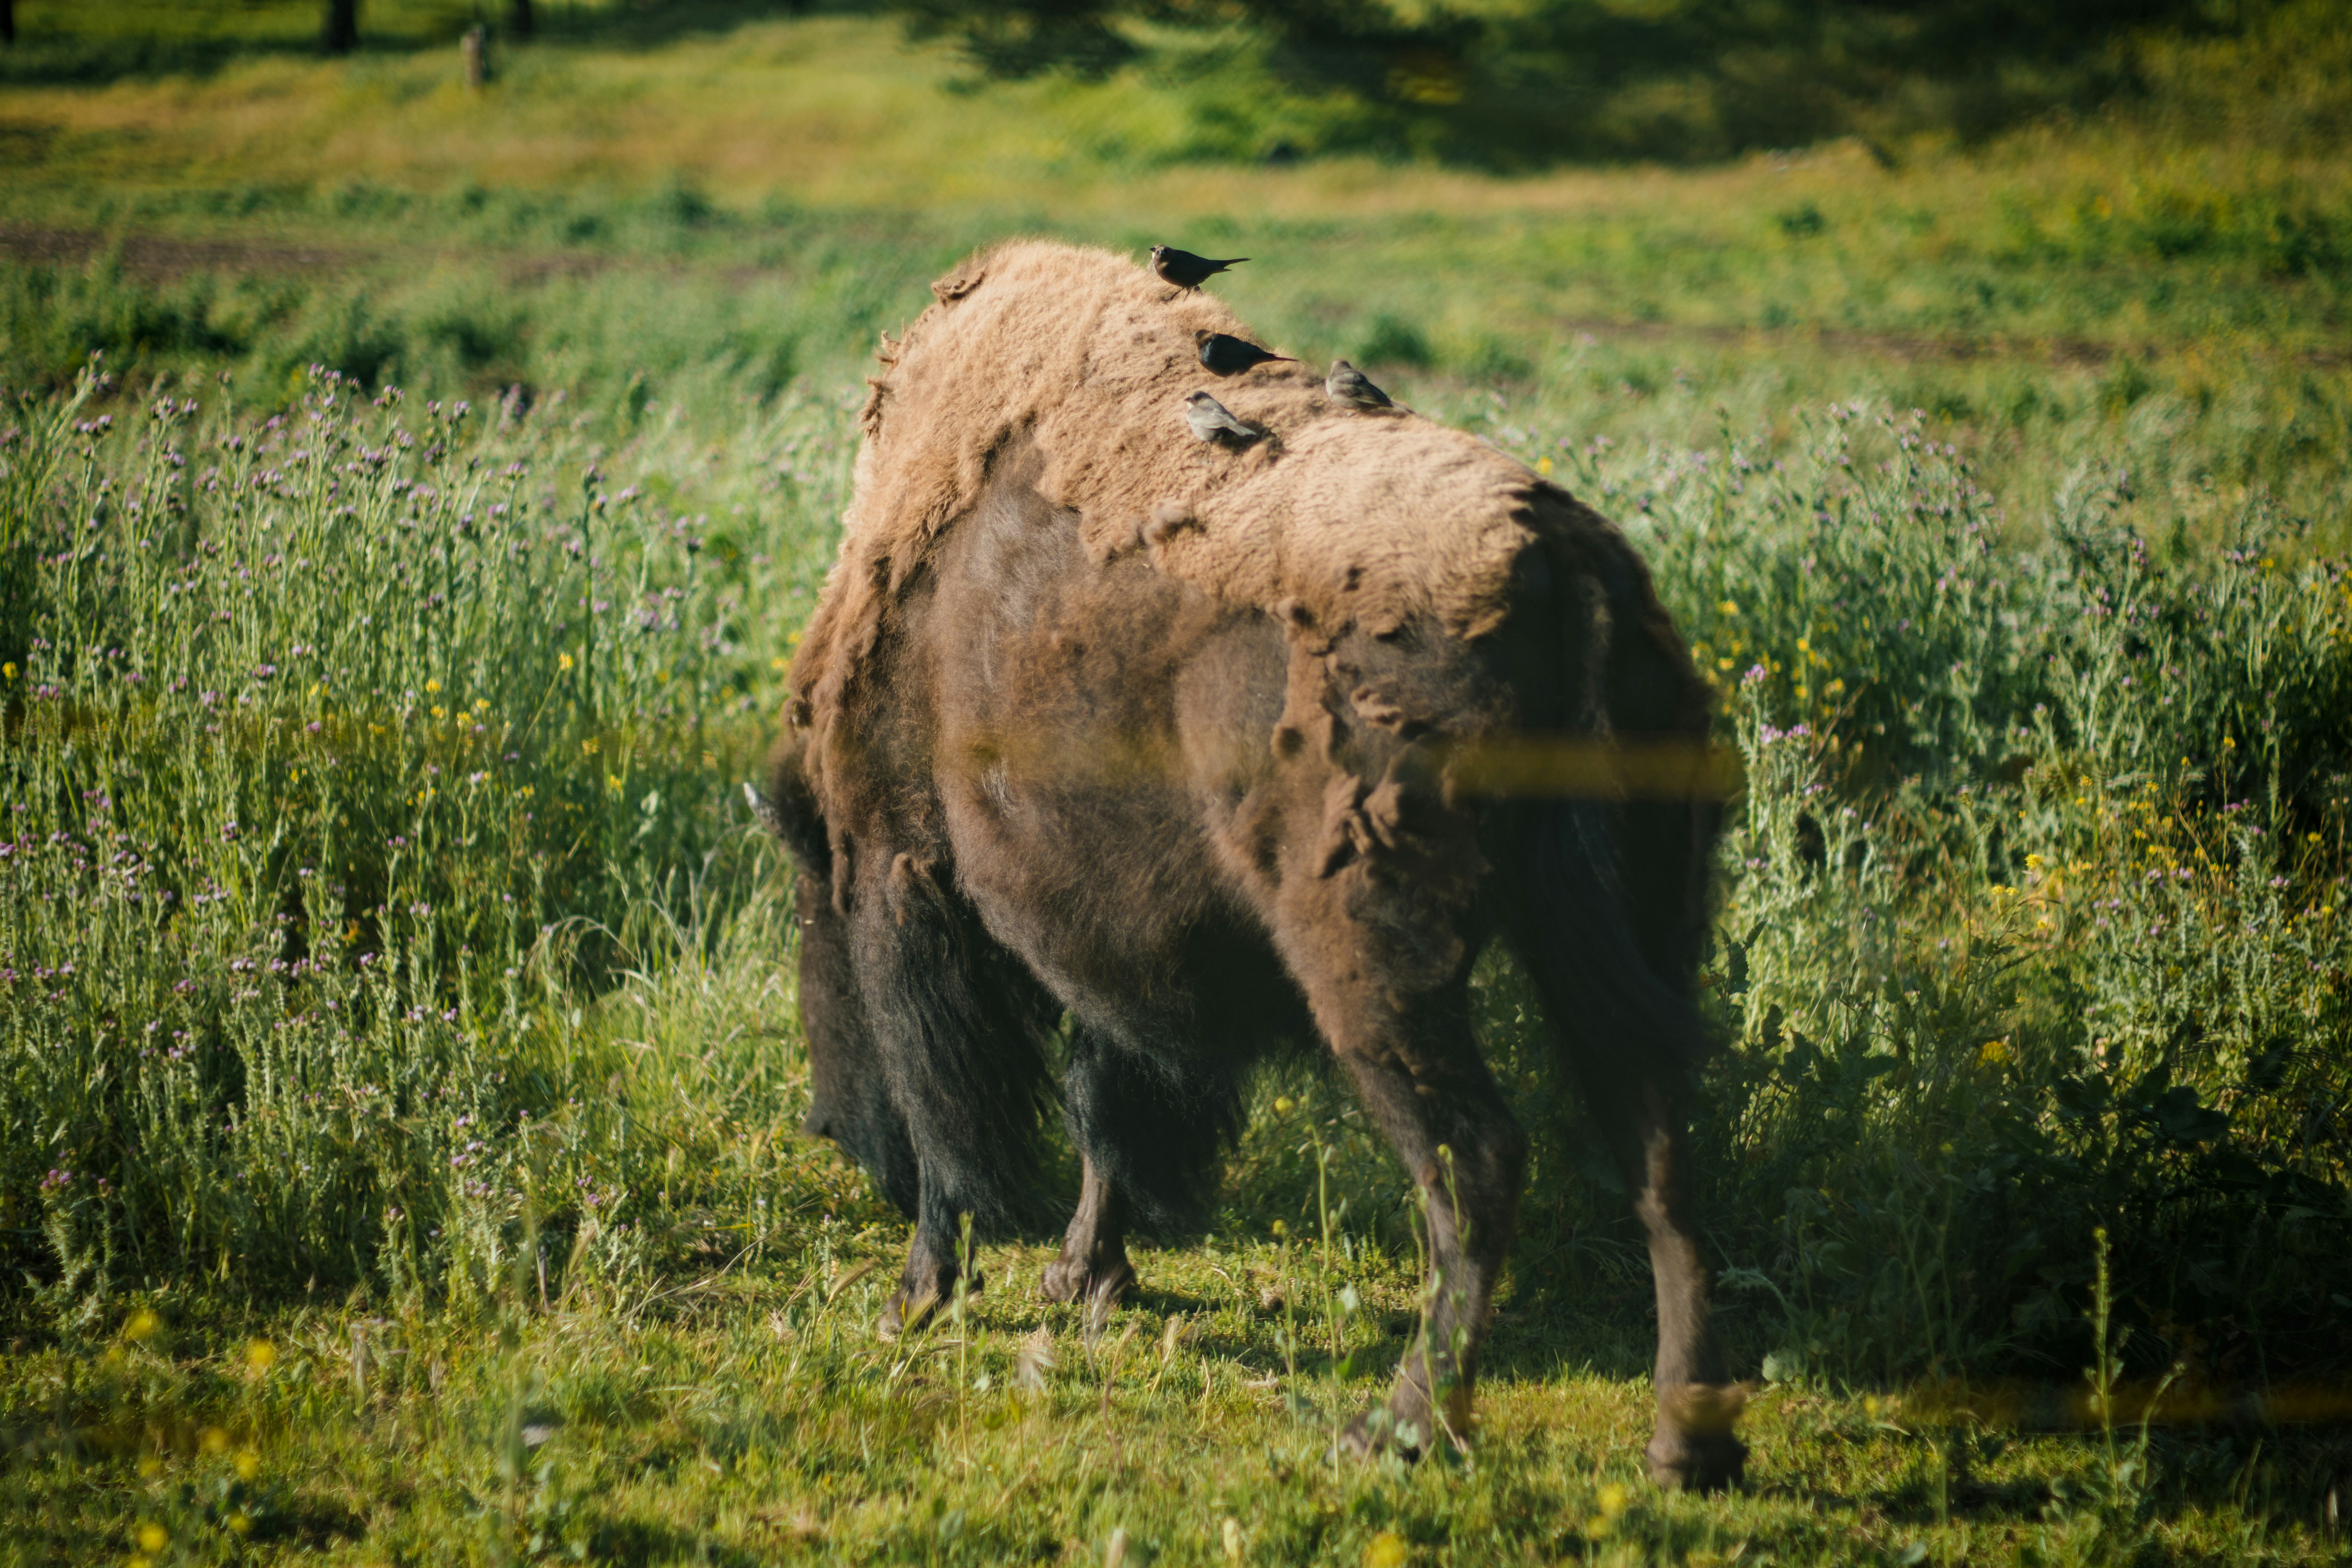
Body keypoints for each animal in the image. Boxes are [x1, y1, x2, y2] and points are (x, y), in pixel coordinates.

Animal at [758, 241, 1746, 1489]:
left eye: (811, 891)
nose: (828, 1131)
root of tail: (1566, 566)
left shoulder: (910, 884)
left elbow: (963, 1112)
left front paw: (919, 1299)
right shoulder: (1109, 937)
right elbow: (1107, 1101)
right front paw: (1083, 1281)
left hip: (1371, 969)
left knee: (1477, 1162)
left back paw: (1401, 1425)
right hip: (1627, 935)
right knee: (1657, 1148)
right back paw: (1684, 1447)